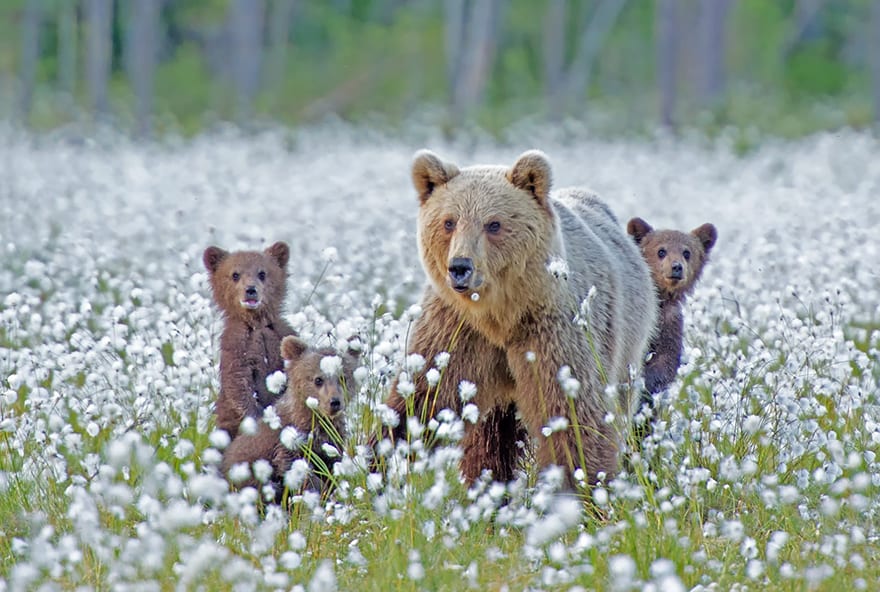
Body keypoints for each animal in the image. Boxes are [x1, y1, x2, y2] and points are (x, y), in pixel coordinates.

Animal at [203, 240, 296, 440]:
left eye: (262, 273)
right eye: (235, 274)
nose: (250, 290)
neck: (257, 324)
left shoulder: (279, 337)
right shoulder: (237, 348)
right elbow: (238, 386)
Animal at [222, 336, 360, 498]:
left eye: (343, 378)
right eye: (318, 379)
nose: (334, 402)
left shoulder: (331, 440)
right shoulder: (287, 442)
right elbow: (296, 468)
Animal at [382, 150, 656, 488]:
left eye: (493, 224)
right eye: (449, 221)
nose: (460, 267)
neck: (501, 315)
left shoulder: (553, 332)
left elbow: (573, 415)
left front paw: (582, 485)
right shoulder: (457, 329)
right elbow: (424, 397)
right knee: (490, 438)